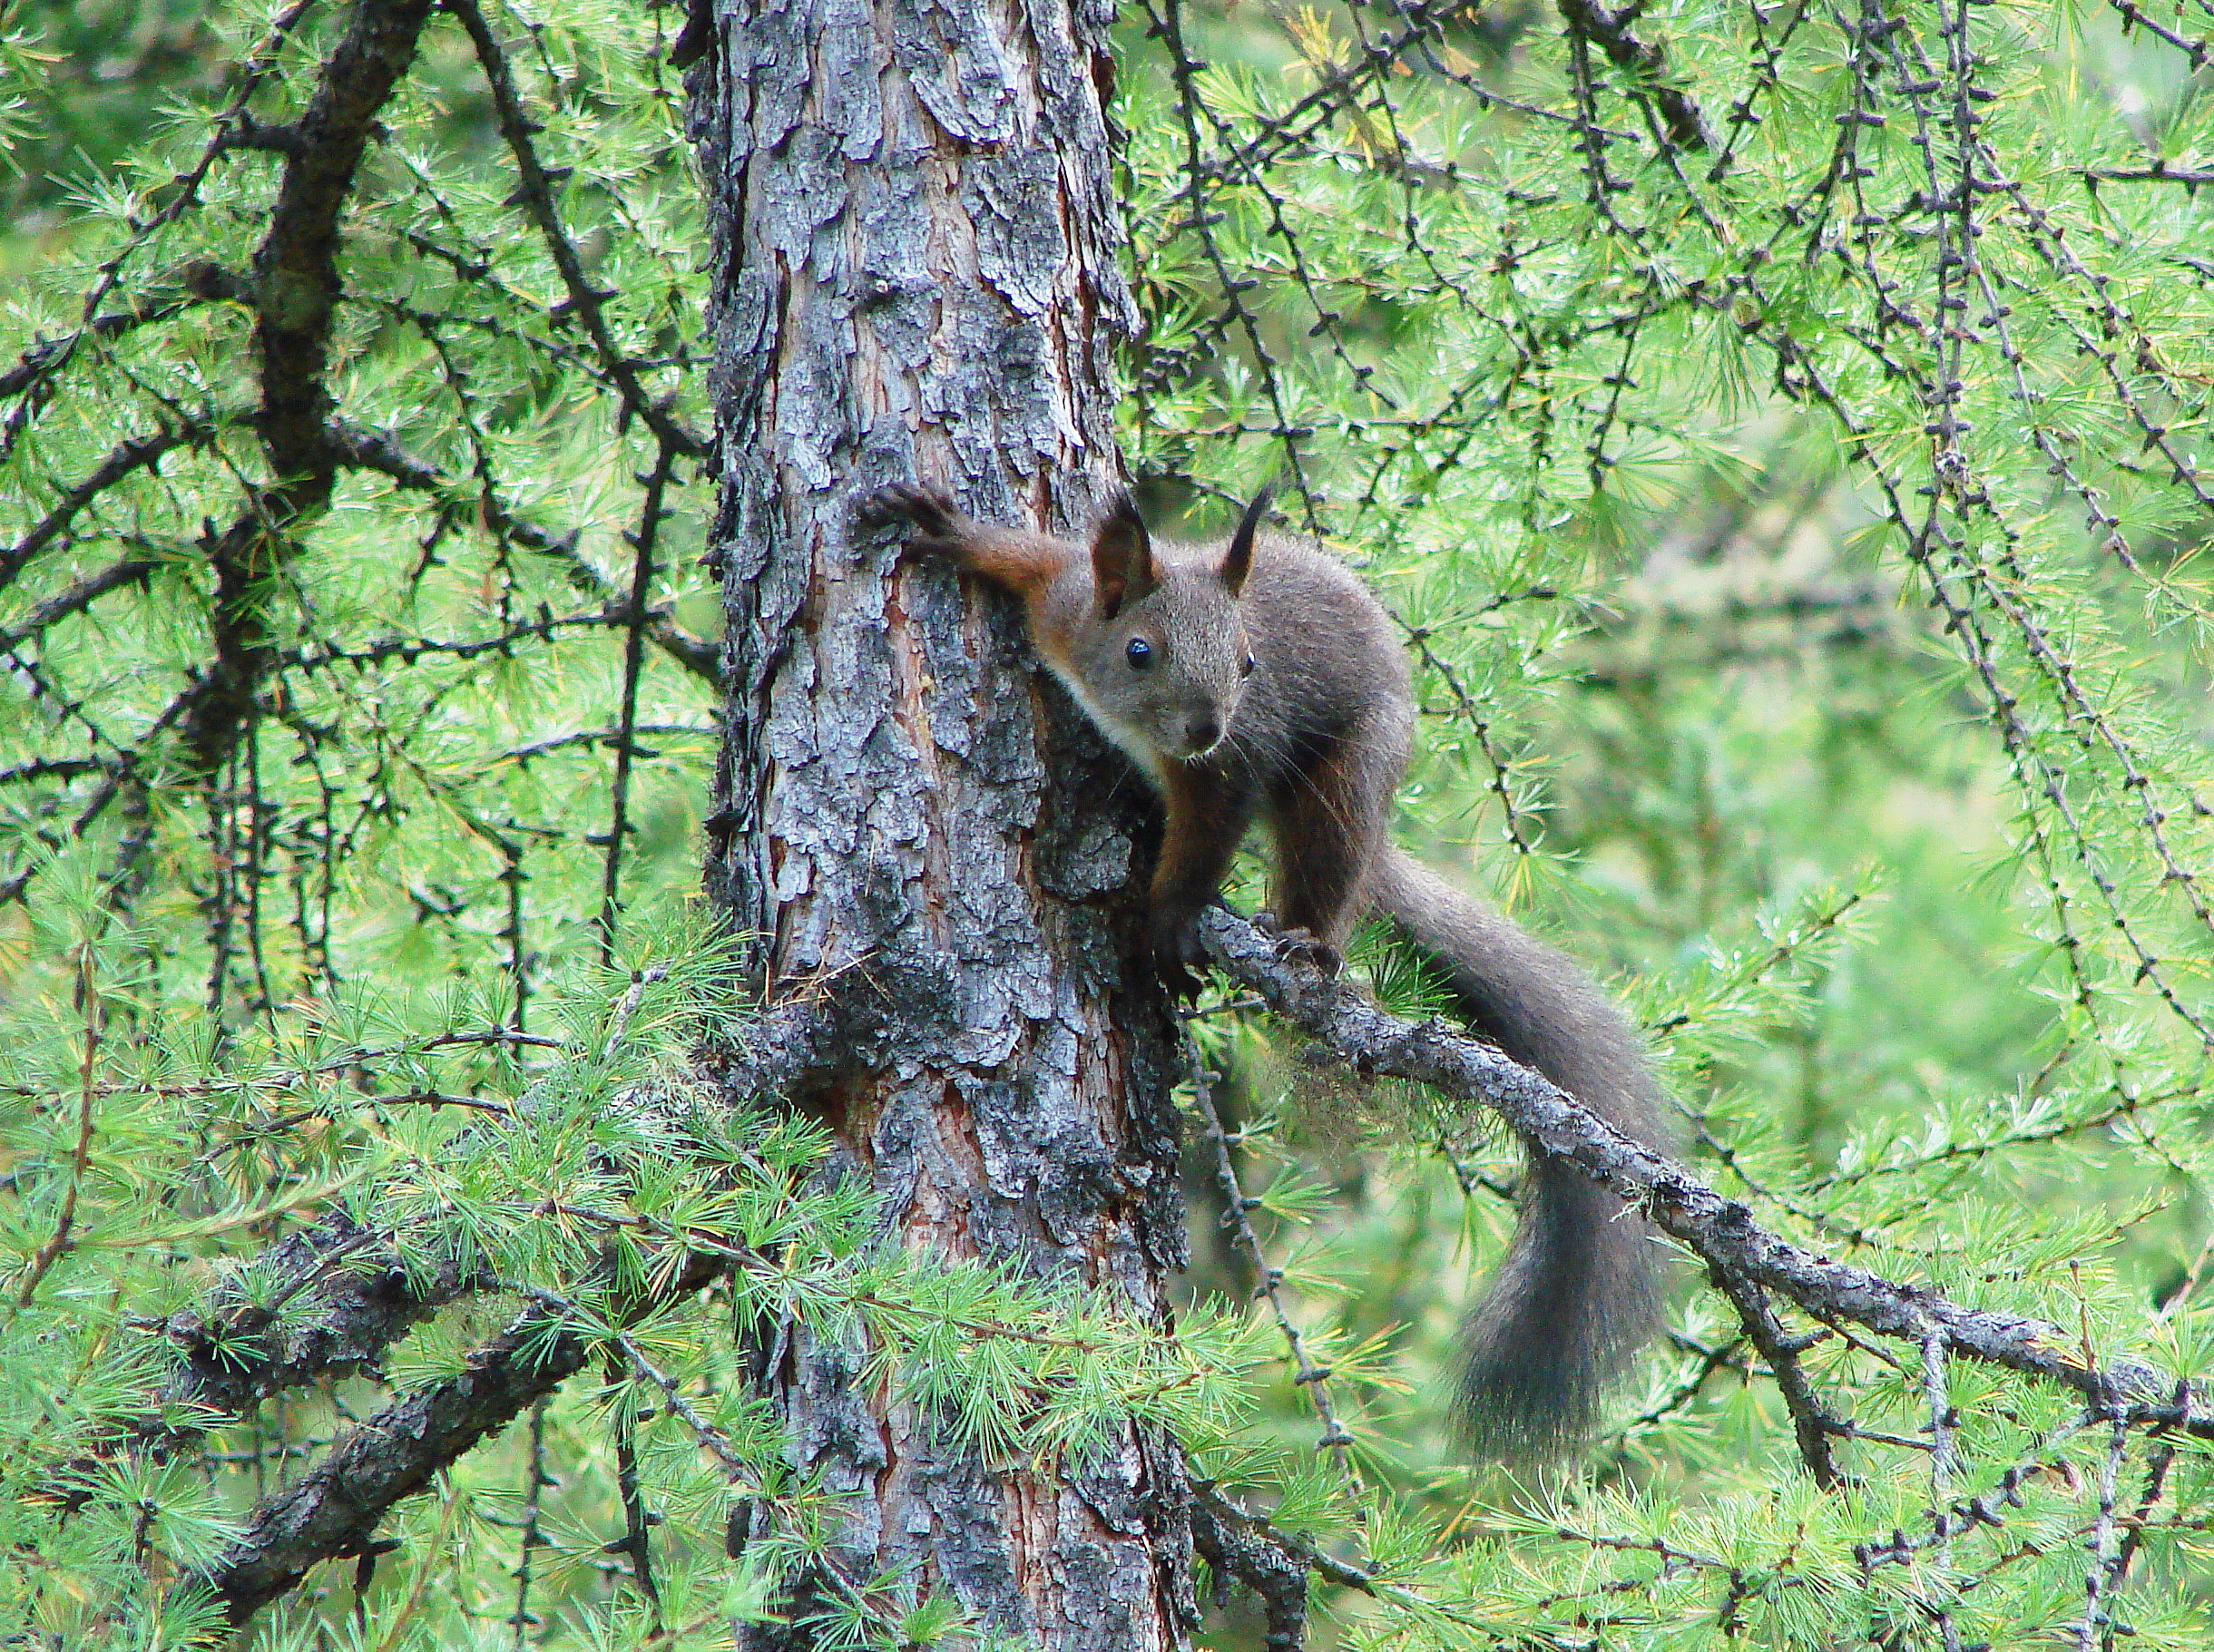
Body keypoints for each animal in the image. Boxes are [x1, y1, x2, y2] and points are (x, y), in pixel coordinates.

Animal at [872, 480, 1664, 1452]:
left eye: (1251, 662)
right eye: (1140, 650)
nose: (1208, 725)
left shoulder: (1228, 773)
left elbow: (1203, 849)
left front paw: (1168, 920)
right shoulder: (1063, 602)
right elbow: (1031, 557)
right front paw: (953, 533)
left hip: (1343, 784)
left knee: (1329, 875)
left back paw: (1307, 943)